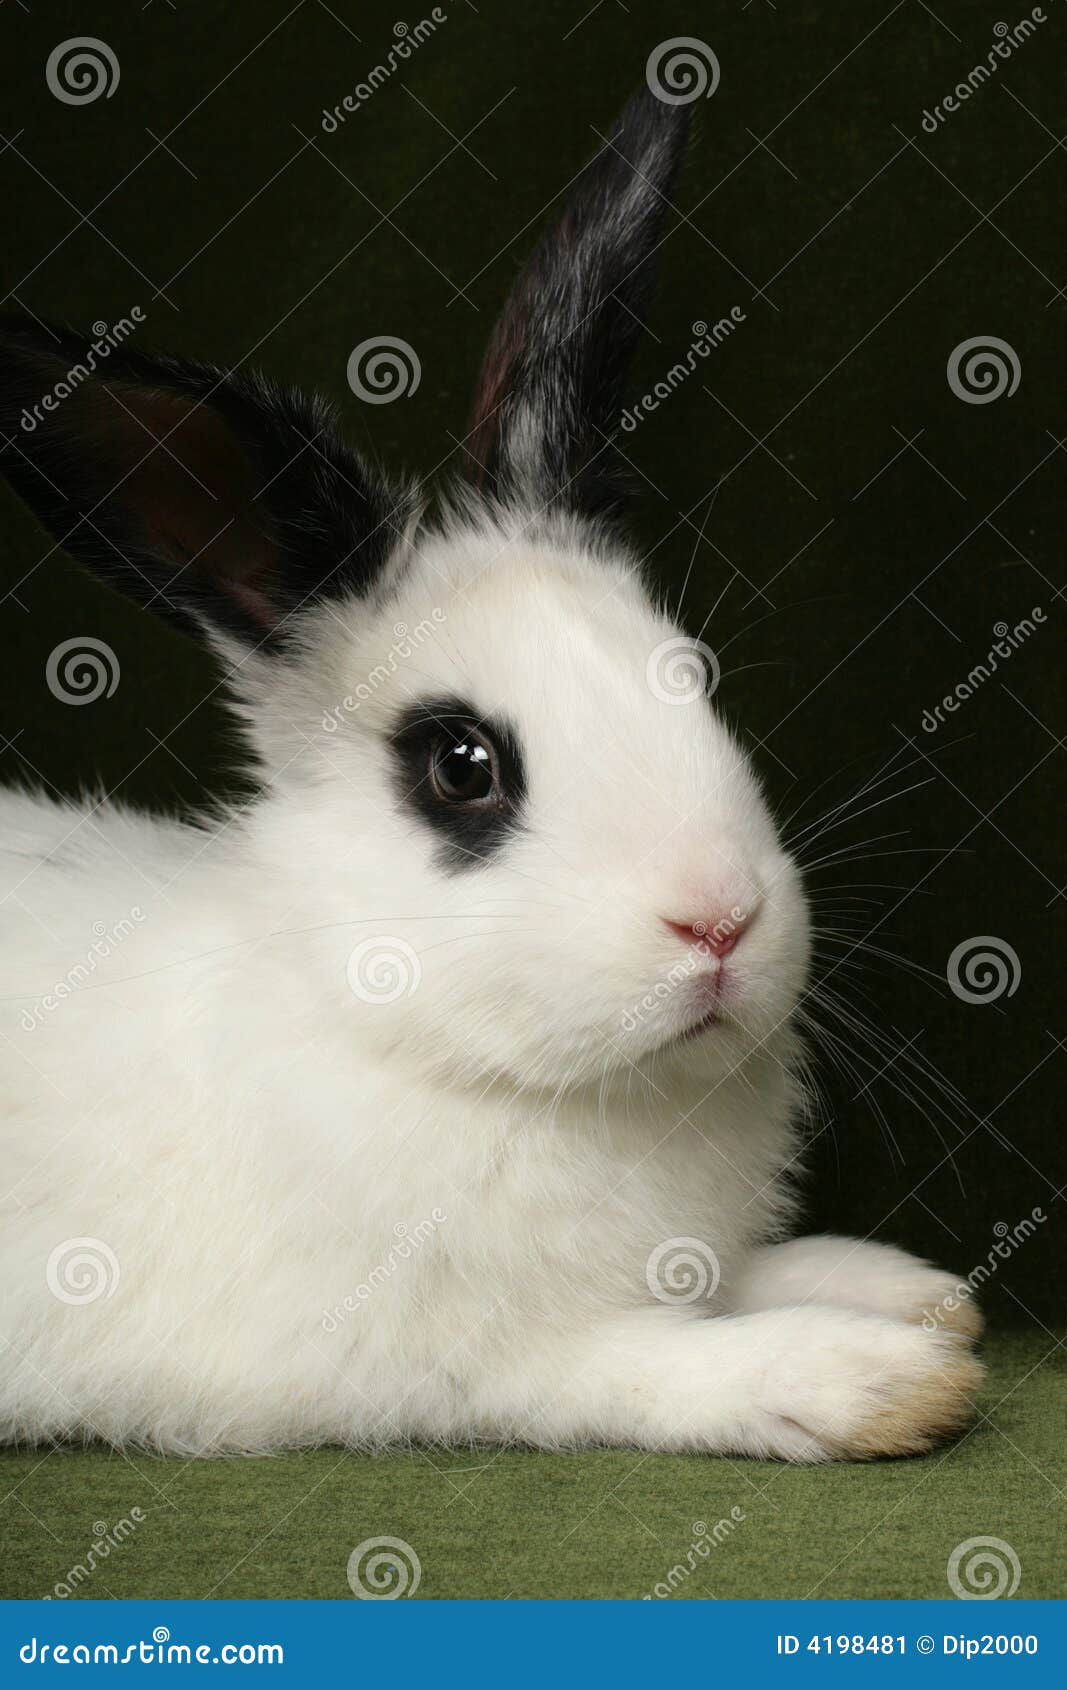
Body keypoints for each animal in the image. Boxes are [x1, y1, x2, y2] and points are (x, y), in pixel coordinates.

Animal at [0, 88, 982, 1460]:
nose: (719, 921)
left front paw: (903, 1288)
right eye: (461, 765)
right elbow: (647, 1363)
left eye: (694, 673)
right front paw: (874, 1376)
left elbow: (733, 1271)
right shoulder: (461, 1363)